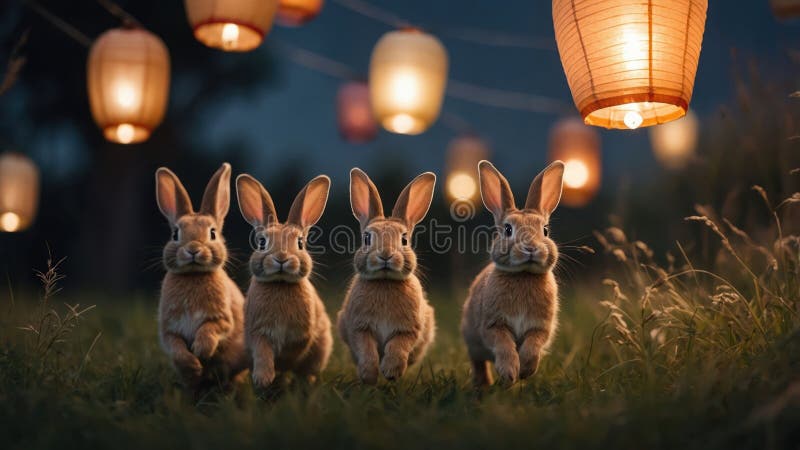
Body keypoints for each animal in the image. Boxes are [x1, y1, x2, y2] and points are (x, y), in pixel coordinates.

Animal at [155, 163, 248, 391]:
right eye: (175, 234)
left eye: (212, 233)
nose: (193, 250)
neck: (193, 274)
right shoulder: (169, 330)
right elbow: (176, 347)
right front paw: (193, 364)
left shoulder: (222, 319)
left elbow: (211, 329)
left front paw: (200, 351)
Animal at [235, 174, 333, 389]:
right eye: (262, 242)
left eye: (300, 243)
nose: (281, 258)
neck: (280, 283)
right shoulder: (258, 333)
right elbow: (263, 352)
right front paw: (263, 378)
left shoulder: (302, 335)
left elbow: (292, 353)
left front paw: (280, 369)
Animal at [337, 168, 437, 385]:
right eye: (367, 238)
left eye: (404, 239)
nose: (385, 254)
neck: (385, 281)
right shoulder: (360, 328)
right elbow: (367, 351)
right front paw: (369, 376)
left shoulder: (407, 330)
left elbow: (398, 347)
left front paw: (391, 372)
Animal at [461, 160, 565, 387]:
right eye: (508, 229)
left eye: (545, 230)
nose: (531, 248)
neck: (523, 274)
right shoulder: (493, 325)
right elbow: (504, 345)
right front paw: (509, 373)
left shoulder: (540, 327)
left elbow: (533, 345)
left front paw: (525, 370)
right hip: (472, 341)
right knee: (479, 363)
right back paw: (484, 384)